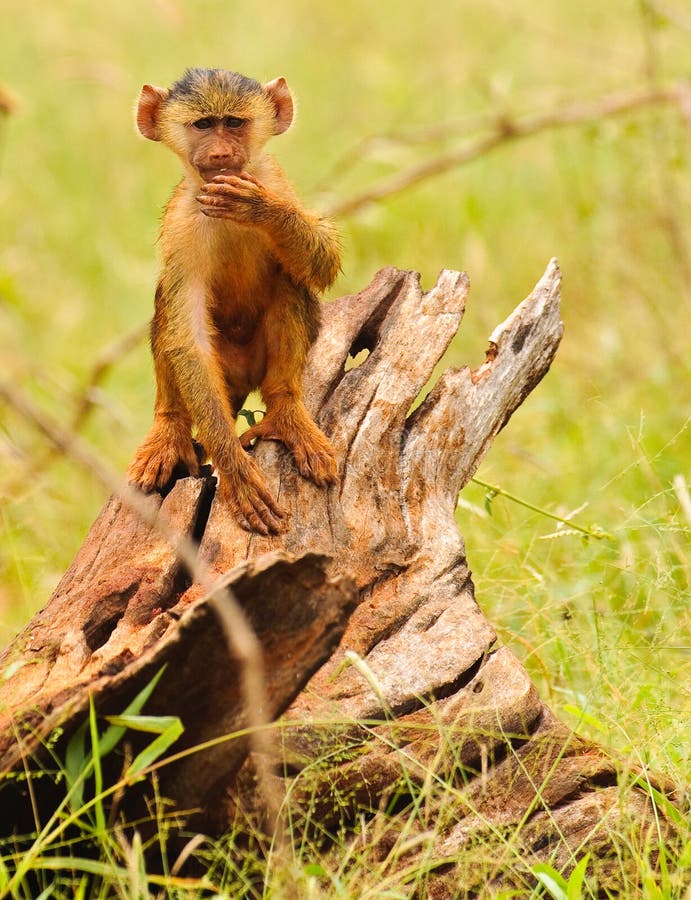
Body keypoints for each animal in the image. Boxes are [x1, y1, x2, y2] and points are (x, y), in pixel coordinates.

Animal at [127, 68, 341, 535]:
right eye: (204, 125)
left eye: (235, 123)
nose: (222, 153)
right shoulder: (183, 223)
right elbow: (187, 337)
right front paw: (237, 472)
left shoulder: (273, 177)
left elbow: (324, 261)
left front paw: (260, 209)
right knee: (167, 306)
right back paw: (170, 427)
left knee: (290, 280)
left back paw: (285, 410)